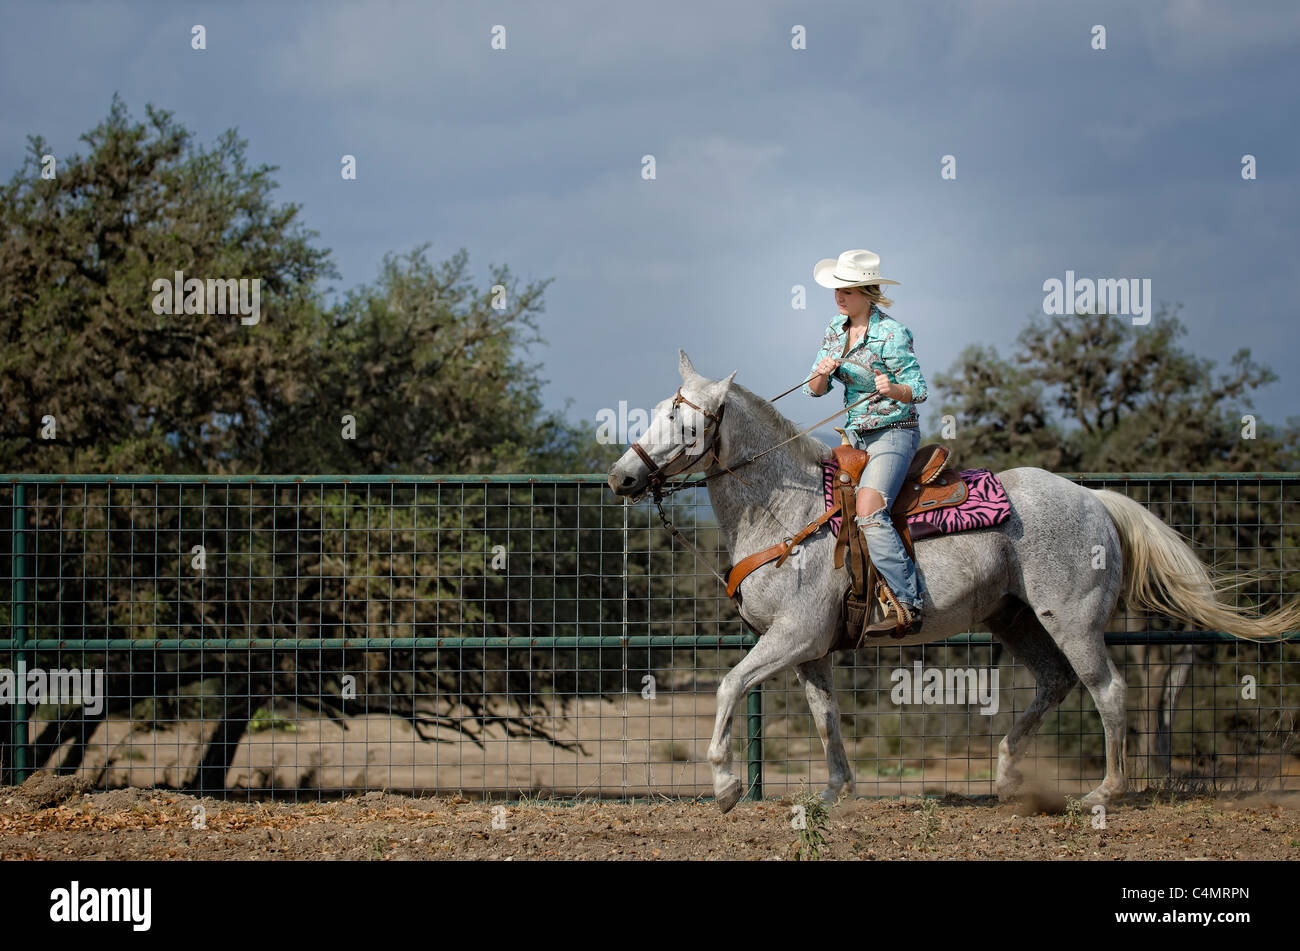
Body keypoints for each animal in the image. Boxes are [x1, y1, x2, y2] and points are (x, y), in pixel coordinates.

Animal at [607, 350, 1299, 813]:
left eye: (687, 423)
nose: (621, 477)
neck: (788, 510)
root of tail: (1094, 498)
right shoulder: (810, 649)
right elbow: (826, 717)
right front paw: (832, 793)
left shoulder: (793, 636)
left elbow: (729, 686)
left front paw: (725, 786)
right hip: (1013, 618)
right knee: (1055, 682)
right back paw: (1006, 776)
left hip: (1071, 619)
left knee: (1107, 689)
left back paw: (1102, 793)